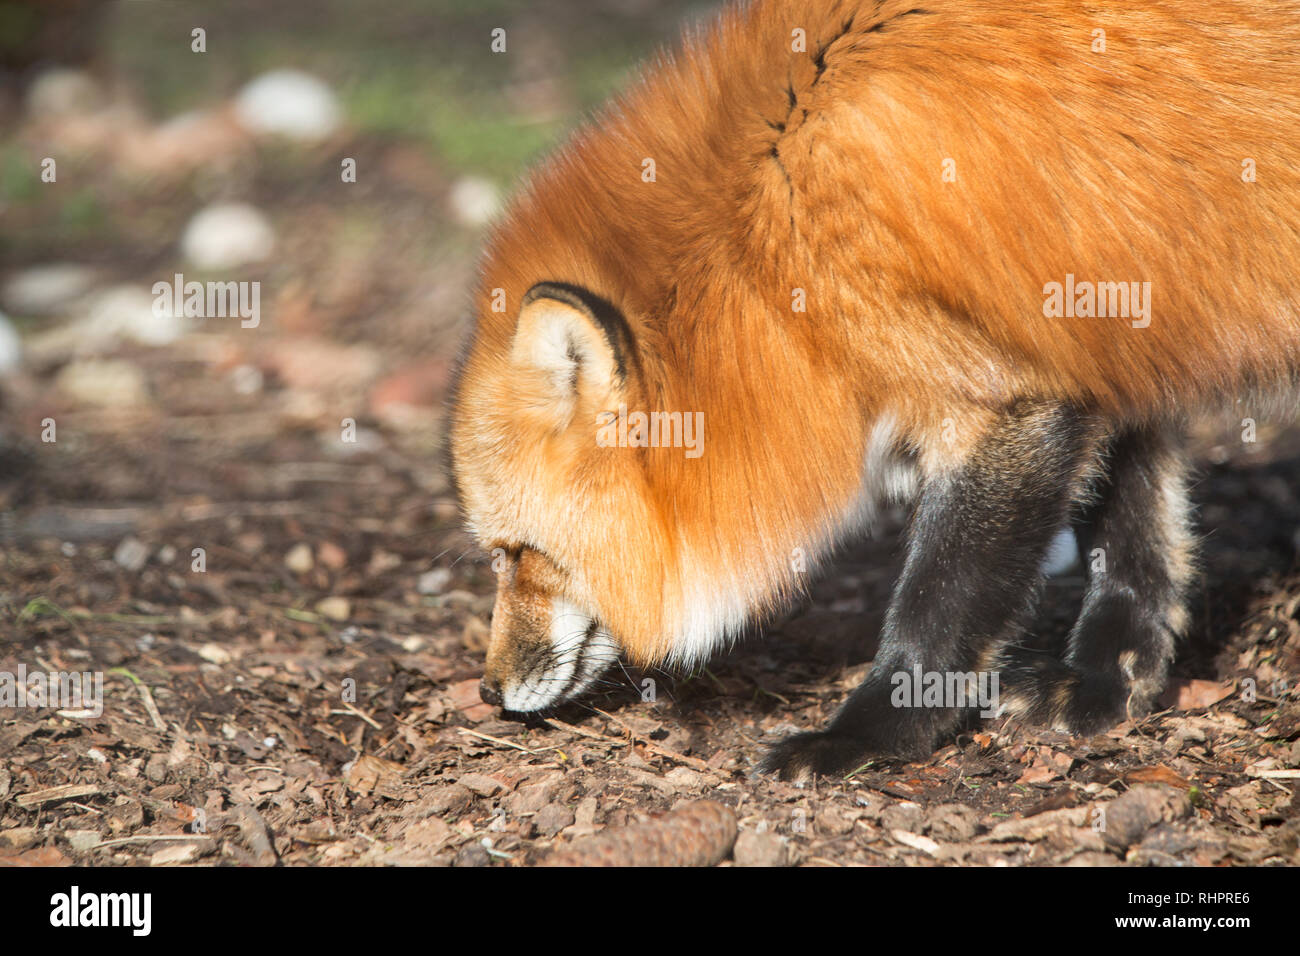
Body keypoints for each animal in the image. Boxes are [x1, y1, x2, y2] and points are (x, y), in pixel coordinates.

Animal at [449, 0, 1300, 780]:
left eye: (516, 553)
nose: (487, 693)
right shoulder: (1098, 340)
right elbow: (1132, 537)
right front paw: (1106, 685)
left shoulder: (998, 396)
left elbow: (939, 603)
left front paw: (863, 738)